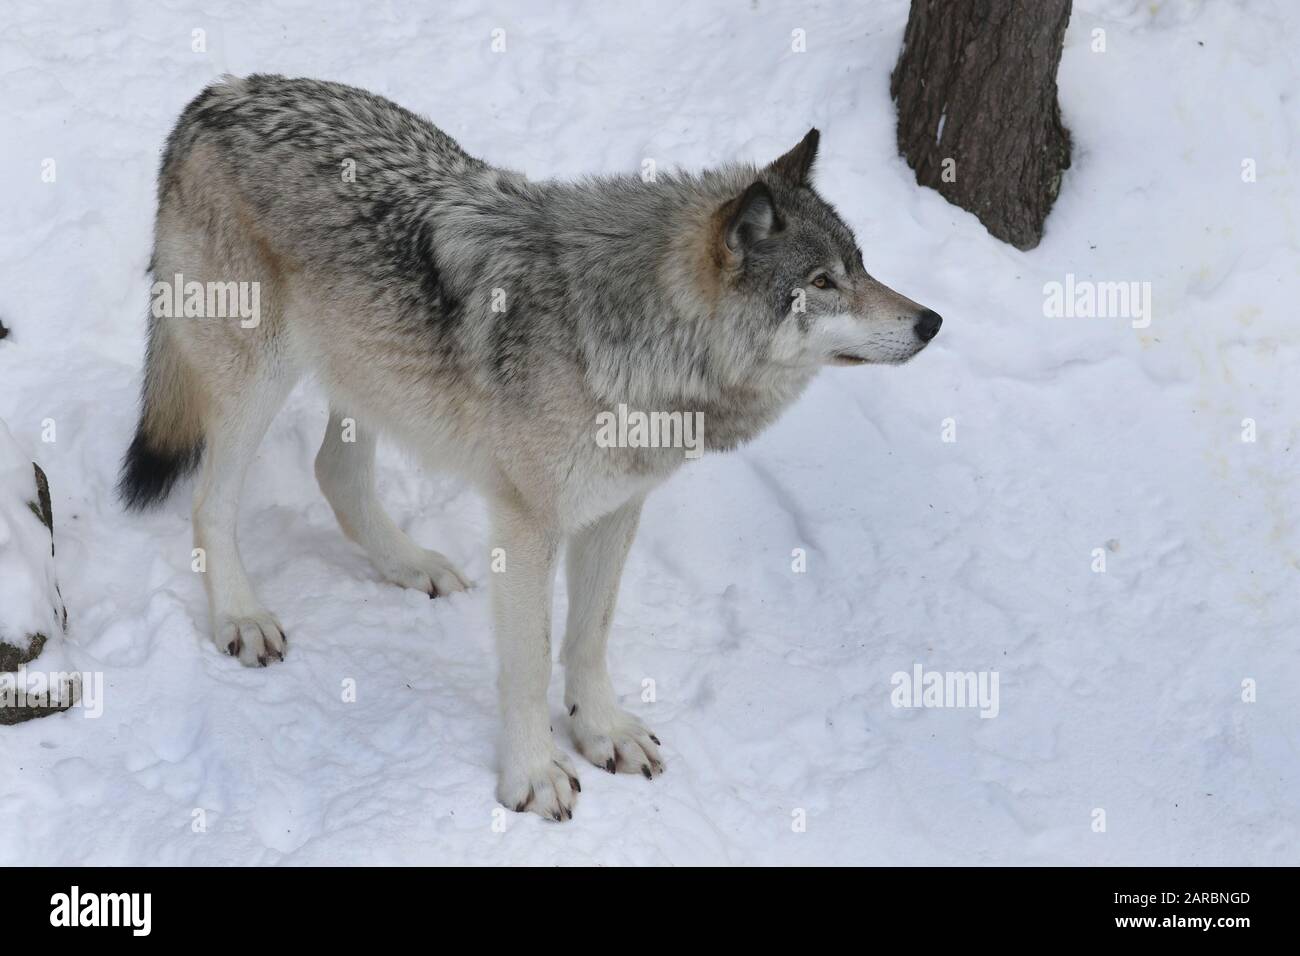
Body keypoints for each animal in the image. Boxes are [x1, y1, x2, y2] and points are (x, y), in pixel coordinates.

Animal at [119, 75, 942, 820]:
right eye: (821, 283)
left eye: (860, 265)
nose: (931, 321)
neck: (632, 336)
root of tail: (213, 97)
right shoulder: (527, 525)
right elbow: (531, 661)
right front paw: (535, 776)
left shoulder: (616, 511)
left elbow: (589, 639)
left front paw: (601, 733)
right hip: (260, 377)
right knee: (211, 501)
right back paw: (241, 618)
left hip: (369, 373)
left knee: (336, 473)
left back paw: (410, 565)